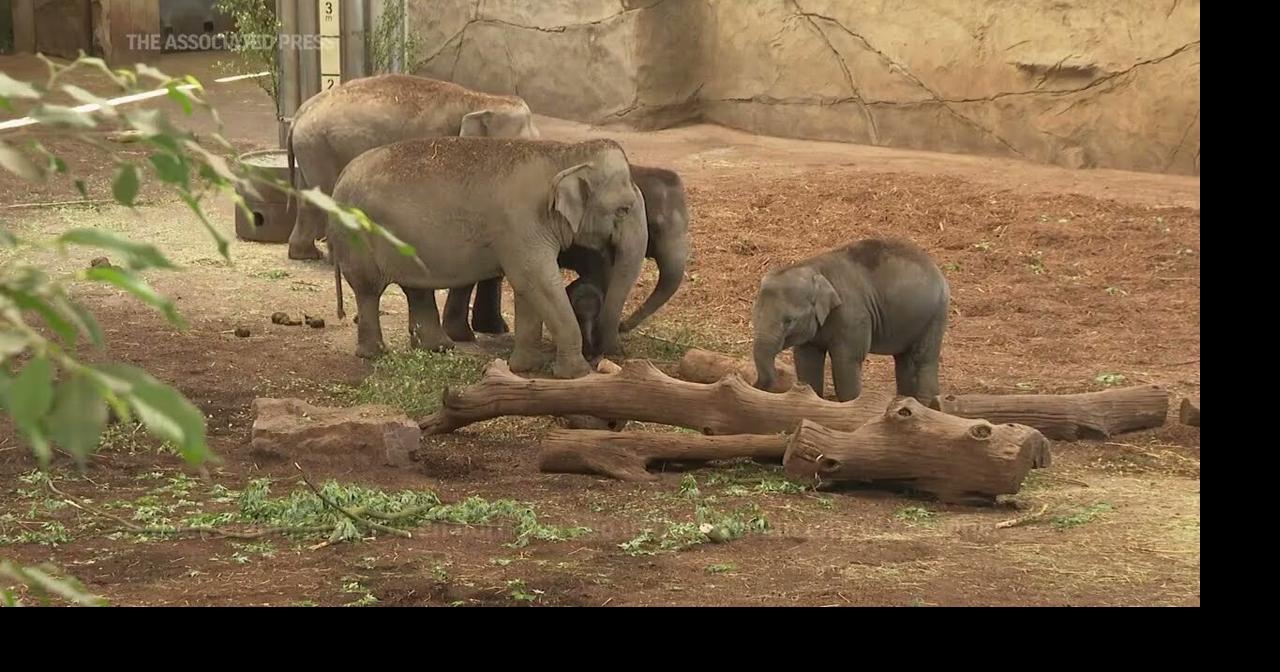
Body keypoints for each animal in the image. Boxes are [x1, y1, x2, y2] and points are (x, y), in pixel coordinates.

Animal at [286, 73, 540, 261]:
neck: (479, 99)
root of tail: (299, 114)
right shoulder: (436, 138)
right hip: (321, 148)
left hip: (310, 148)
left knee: (308, 198)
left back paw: (307, 255)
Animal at [327, 137, 648, 379]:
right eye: (623, 209)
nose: (611, 353)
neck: (565, 153)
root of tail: (339, 177)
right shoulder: (522, 223)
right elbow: (537, 280)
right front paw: (576, 374)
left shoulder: (525, 233)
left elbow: (529, 287)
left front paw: (524, 368)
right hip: (357, 238)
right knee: (369, 290)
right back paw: (375, 353)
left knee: (416, 288)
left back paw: (439, 348)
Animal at [751, 238, 949, 405]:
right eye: (755, 316)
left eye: (790, 320)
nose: (756, 384)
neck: (815, 268)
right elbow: (807, 359)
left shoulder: (852, 315)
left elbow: (847, 360)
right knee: (904, 360)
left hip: (935, 314)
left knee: (923, 358)